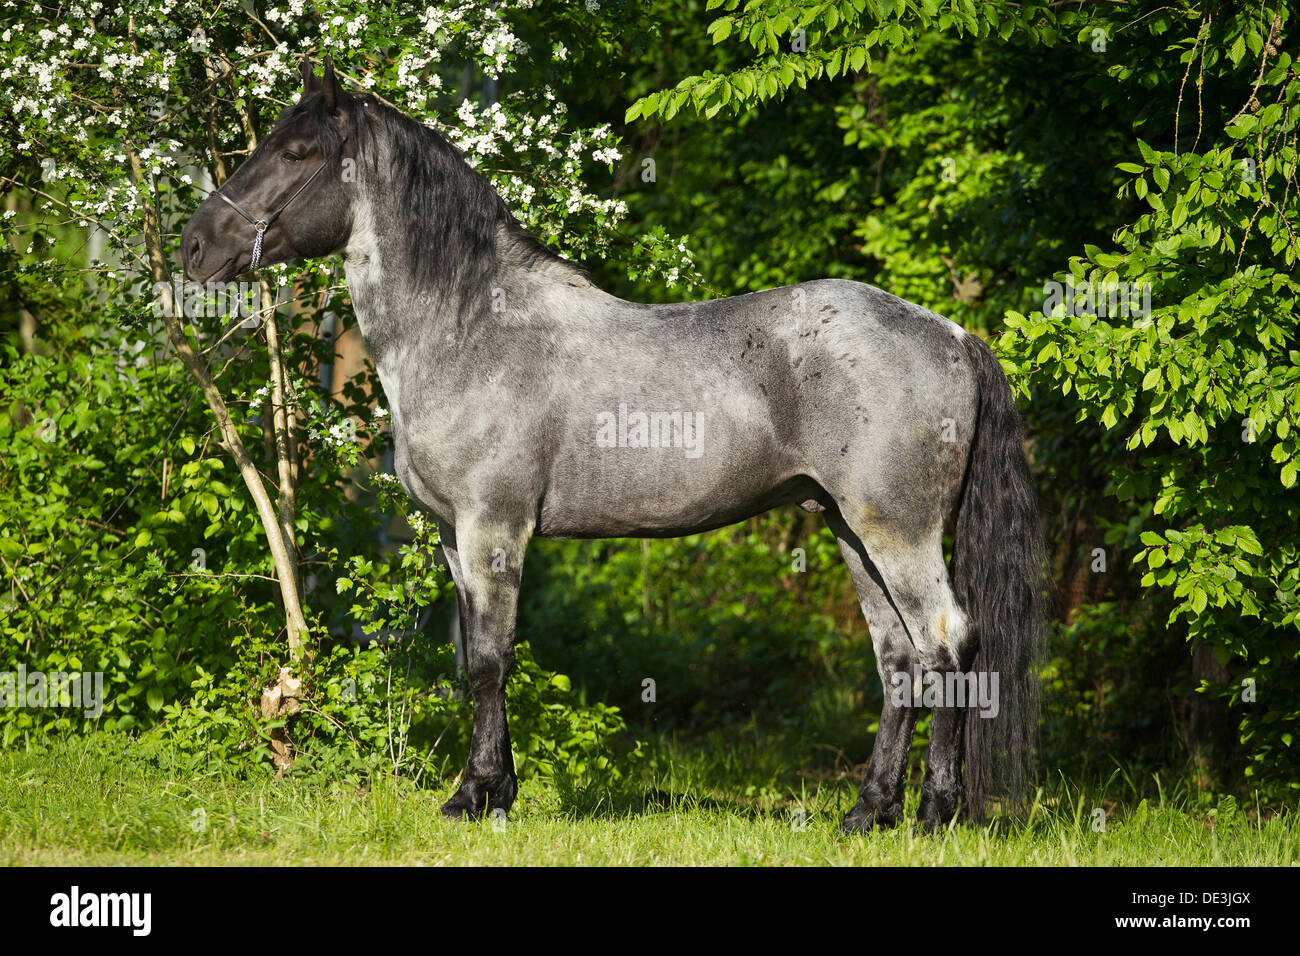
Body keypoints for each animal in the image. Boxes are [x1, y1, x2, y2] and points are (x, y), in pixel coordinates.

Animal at [181, 60, 1046, 831]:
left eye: (297, 153)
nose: (195, 245)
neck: (472, 328)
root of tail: (951, 333)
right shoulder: (455, 538)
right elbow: (474, 661)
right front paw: (496, 789)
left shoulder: (495, 529)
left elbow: (491, 661)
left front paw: (473, 798)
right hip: (849, 530)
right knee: (899, 662)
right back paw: (867, 813)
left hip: (897, 533)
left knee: (946, 645)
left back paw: (935, 812)